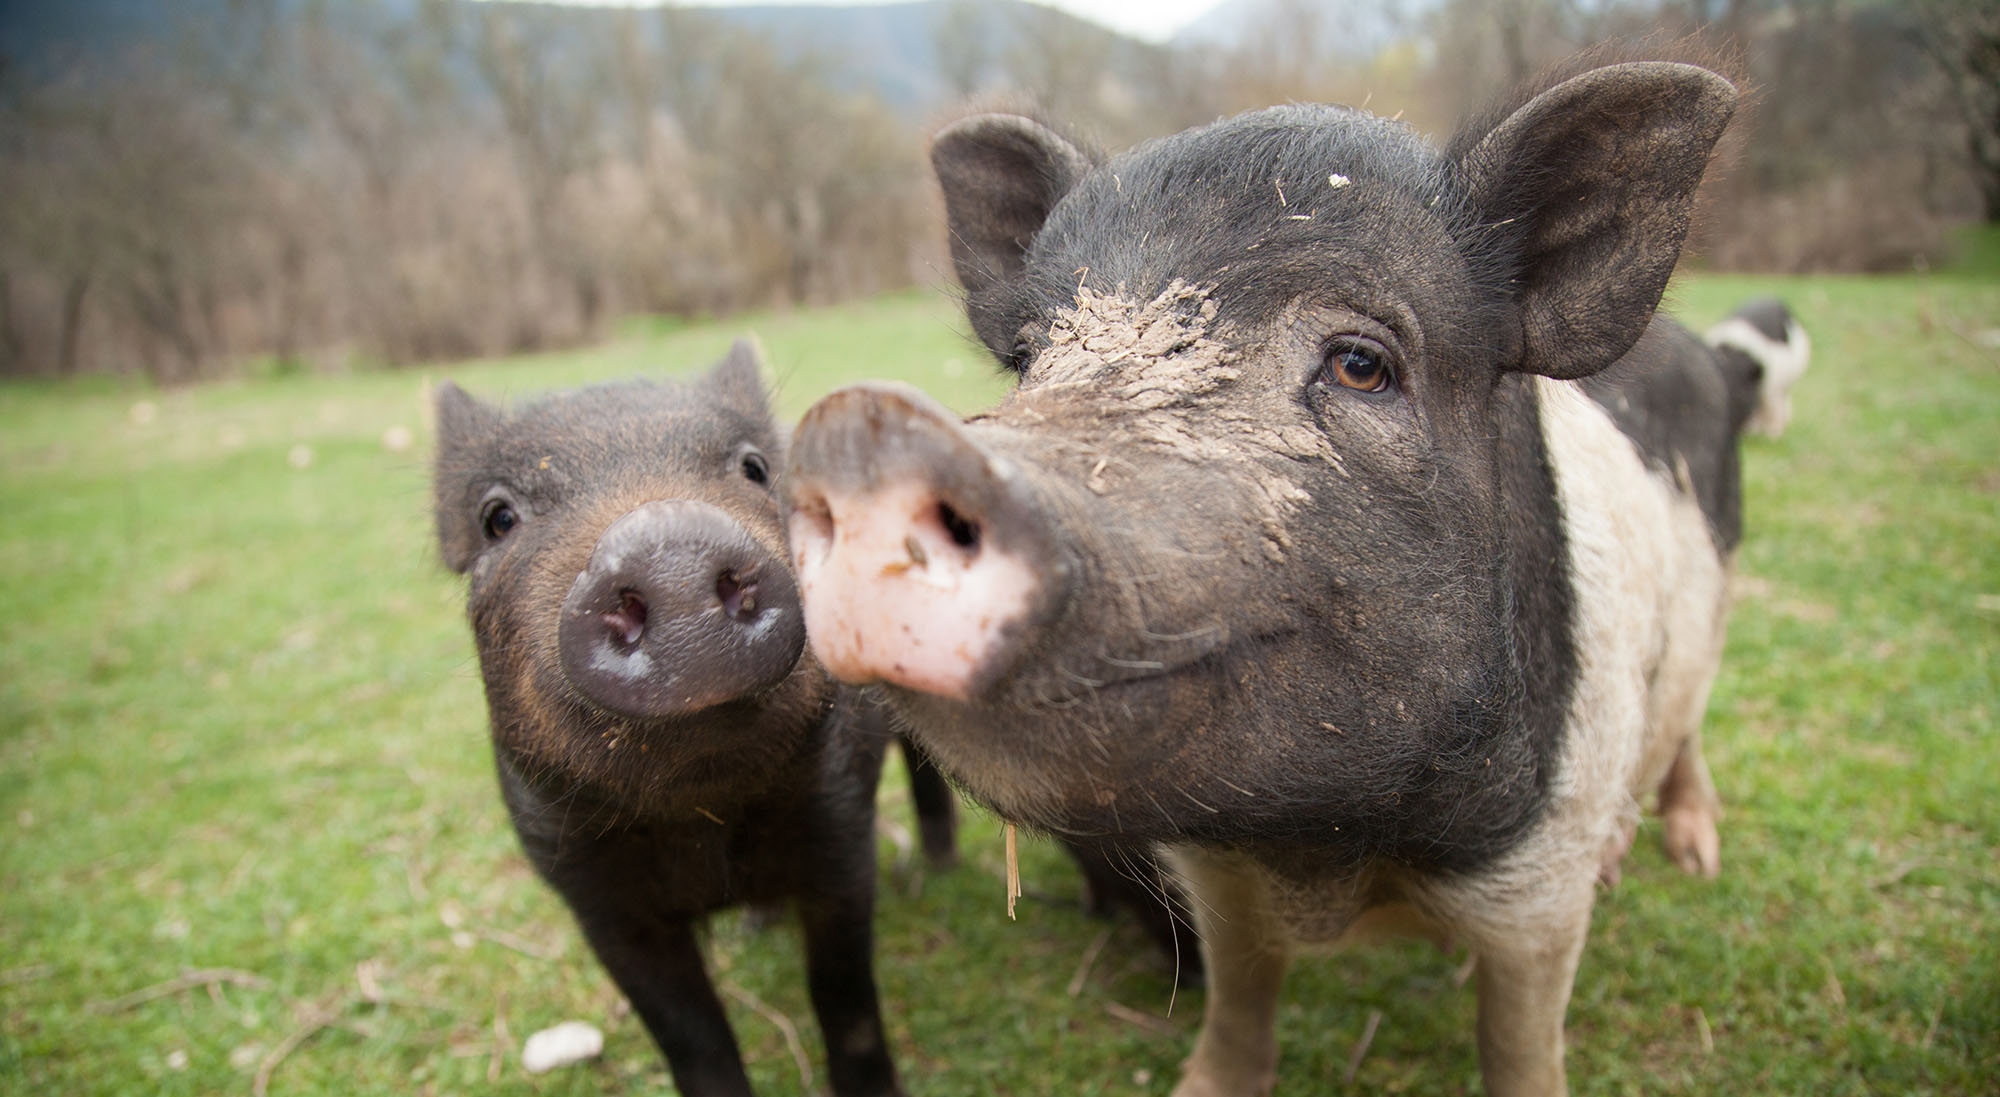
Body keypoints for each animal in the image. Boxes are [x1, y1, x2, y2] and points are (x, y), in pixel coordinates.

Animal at [432, 342, 923, 1097]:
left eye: (753, 468)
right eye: (499, 517)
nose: (671, 545)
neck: (699, 820)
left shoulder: (841, 822)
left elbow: (845, 999)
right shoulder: (590, 894)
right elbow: (691, 1037)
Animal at [781, 61, 1807, 1096]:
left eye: (1361, 363)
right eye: (1030, 357)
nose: (863, 424)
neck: (1335, 861)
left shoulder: (1542, 882)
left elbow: (1521, 1043)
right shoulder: (1216, 882)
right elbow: (1239, 1004)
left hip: (1717, 590)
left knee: (1688, 722)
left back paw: (1689, 856)